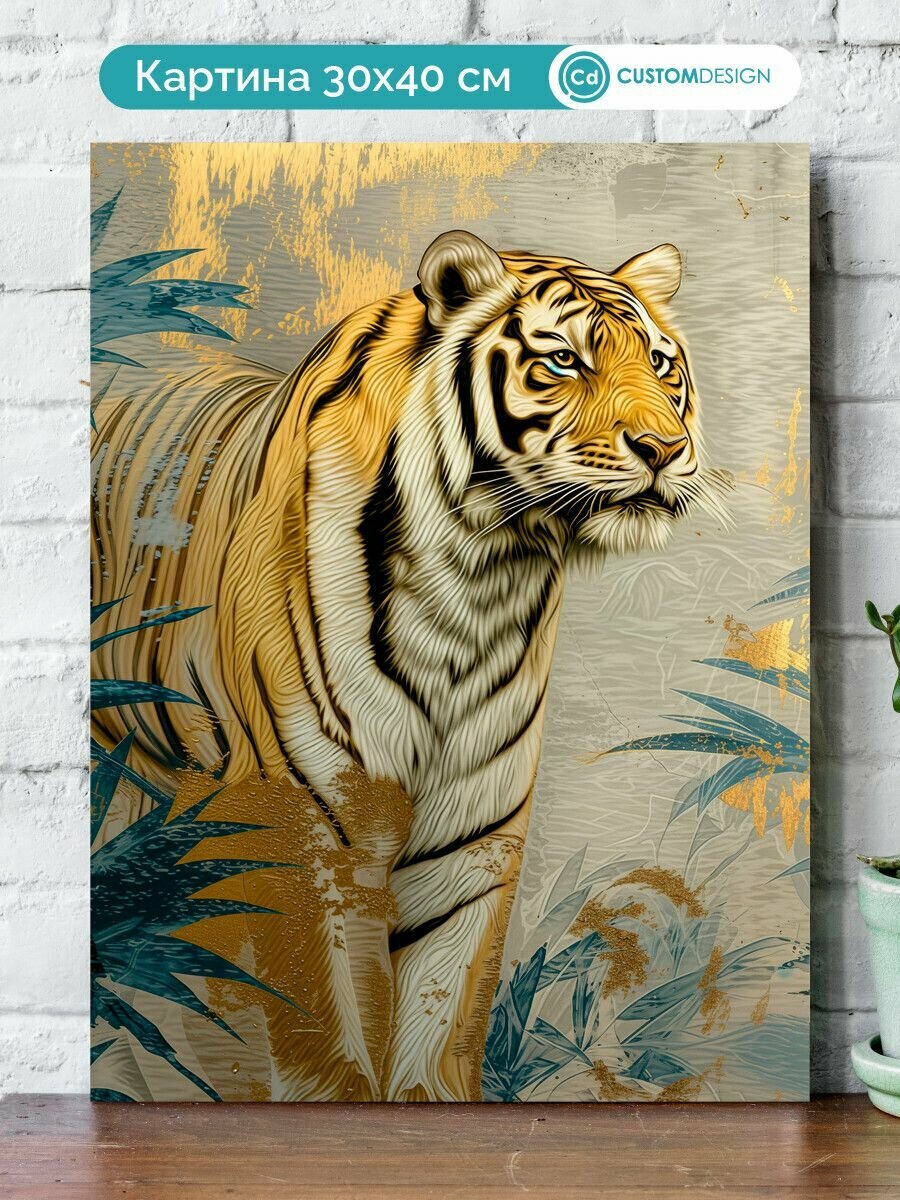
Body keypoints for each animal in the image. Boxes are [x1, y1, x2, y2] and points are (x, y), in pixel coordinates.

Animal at [91, 229, 727, 1102]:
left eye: (662, 364)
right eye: (563, 361)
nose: (665, 449)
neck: (480, 577)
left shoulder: (473, 846)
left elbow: (439, 1024)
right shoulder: (305, 832)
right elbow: (323, 1039)